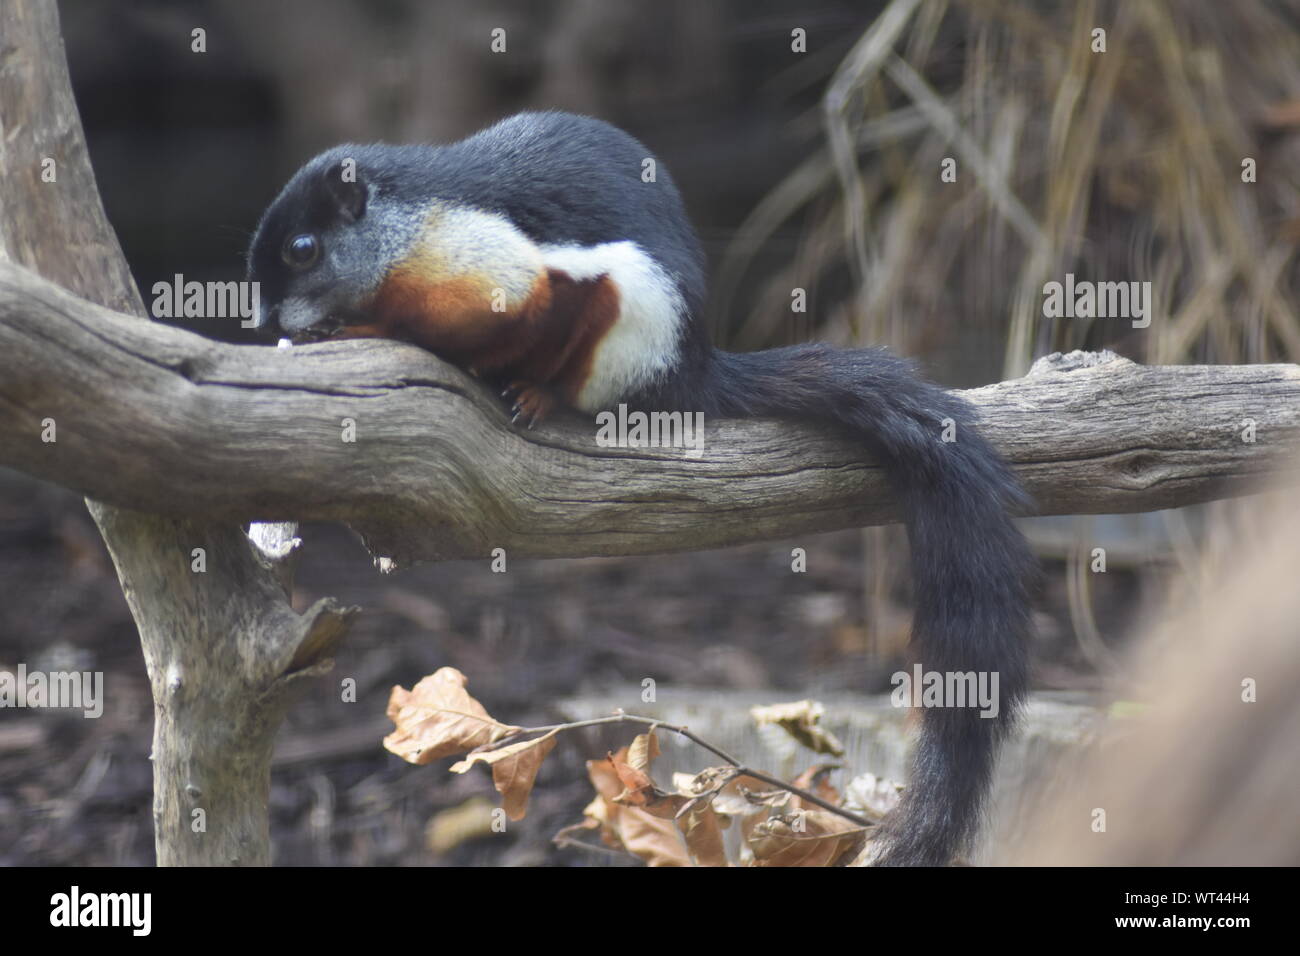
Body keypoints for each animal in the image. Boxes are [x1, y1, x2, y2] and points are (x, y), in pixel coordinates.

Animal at [247, 111, 1034, 866]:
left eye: (303, 248)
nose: (262, 321)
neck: (409, 231)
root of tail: (695, 370)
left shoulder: (489, 268)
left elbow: (478, 320)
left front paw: (349, 326)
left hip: (623, 334)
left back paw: (537, 396)